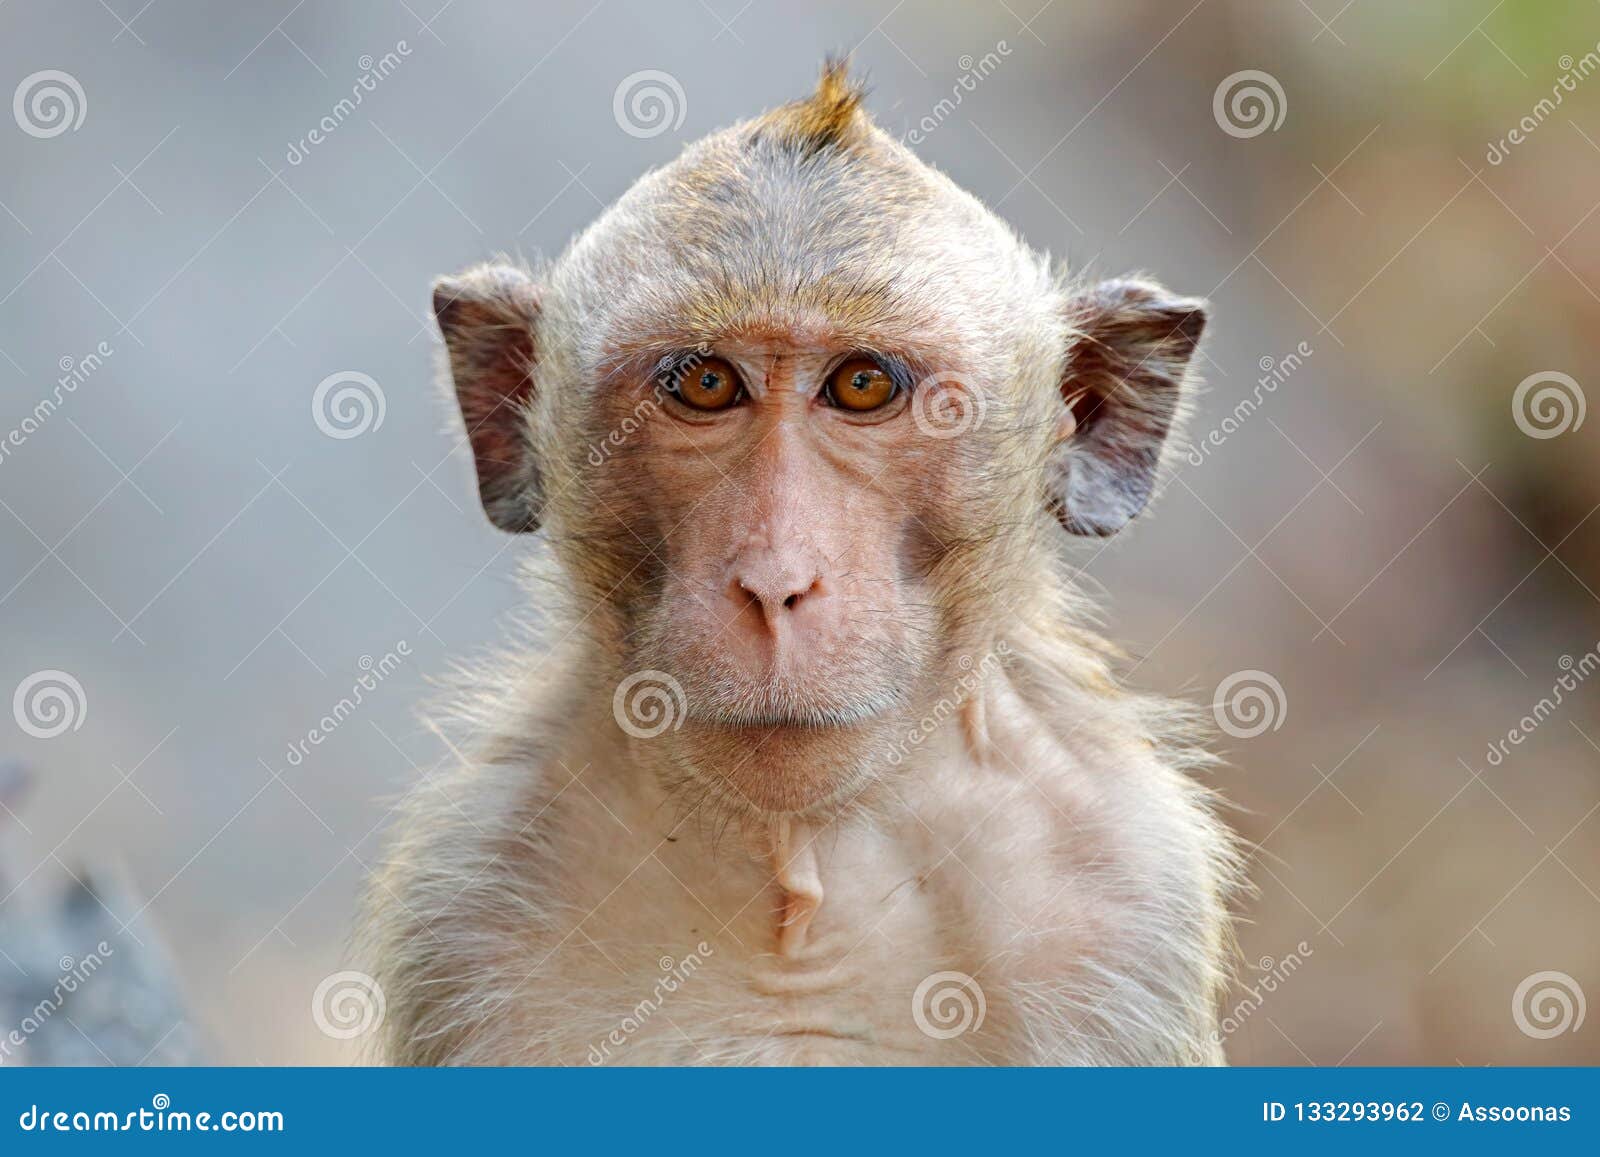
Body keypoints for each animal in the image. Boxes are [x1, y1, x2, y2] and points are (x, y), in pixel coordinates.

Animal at [358, 62, 1240, 1066]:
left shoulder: (1122, 903)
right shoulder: (466, 906)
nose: (775, 580)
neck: (798, 868)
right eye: (706, 383)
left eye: (862, 384)